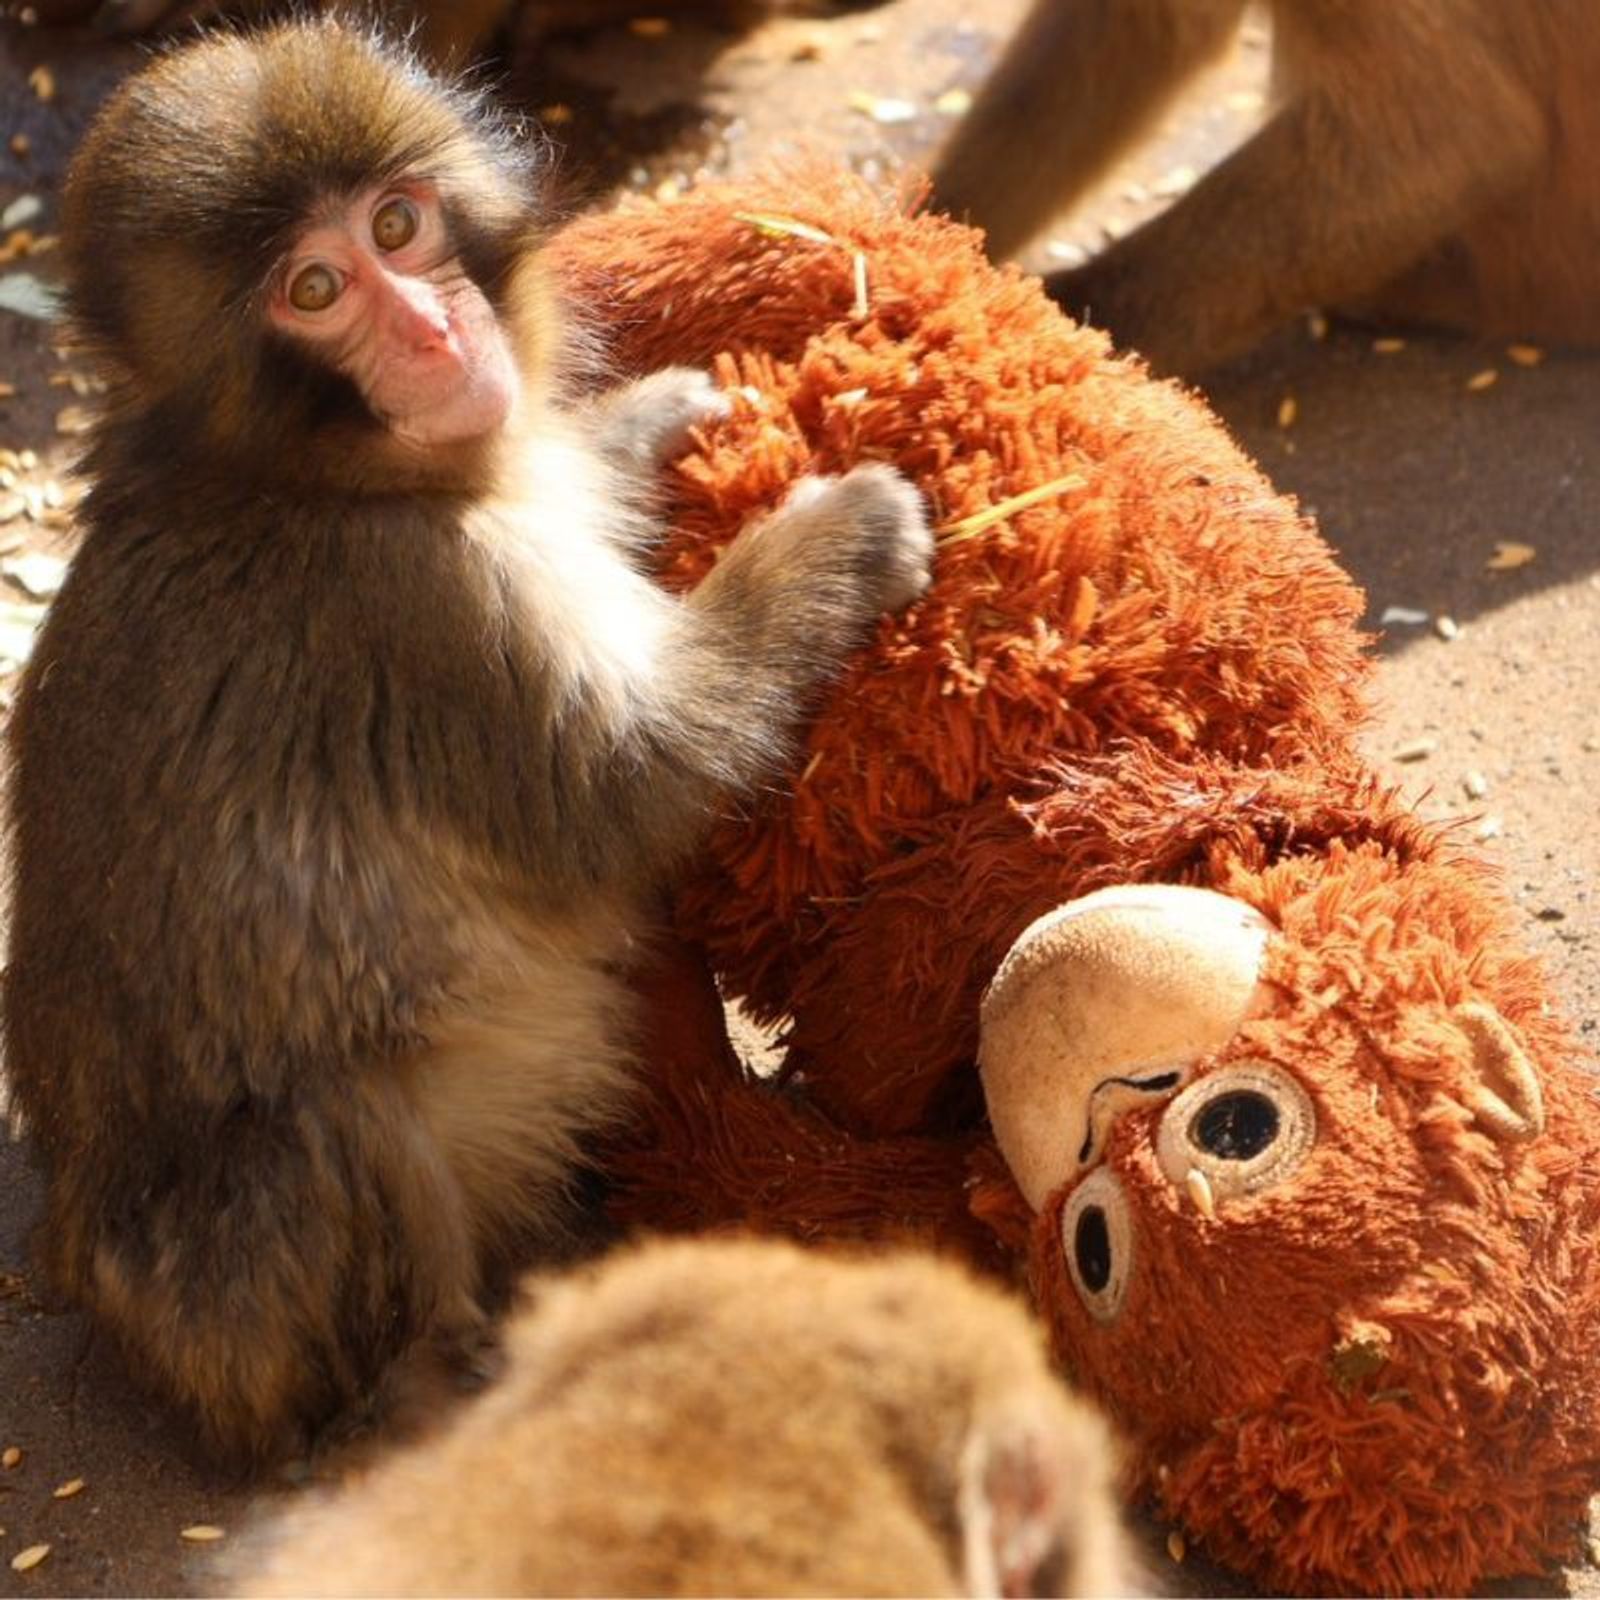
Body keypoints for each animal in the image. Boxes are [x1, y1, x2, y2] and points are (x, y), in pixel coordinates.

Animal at [2, 18, 933, 1468]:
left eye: (399, 223)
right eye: (316, 288)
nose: (437, 331)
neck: (305, 473)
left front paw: (642, 422)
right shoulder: (423, 606)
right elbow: (630, 786)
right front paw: (835, 539)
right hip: (241, 1309)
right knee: (337, 1122)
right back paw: (439, 1384)